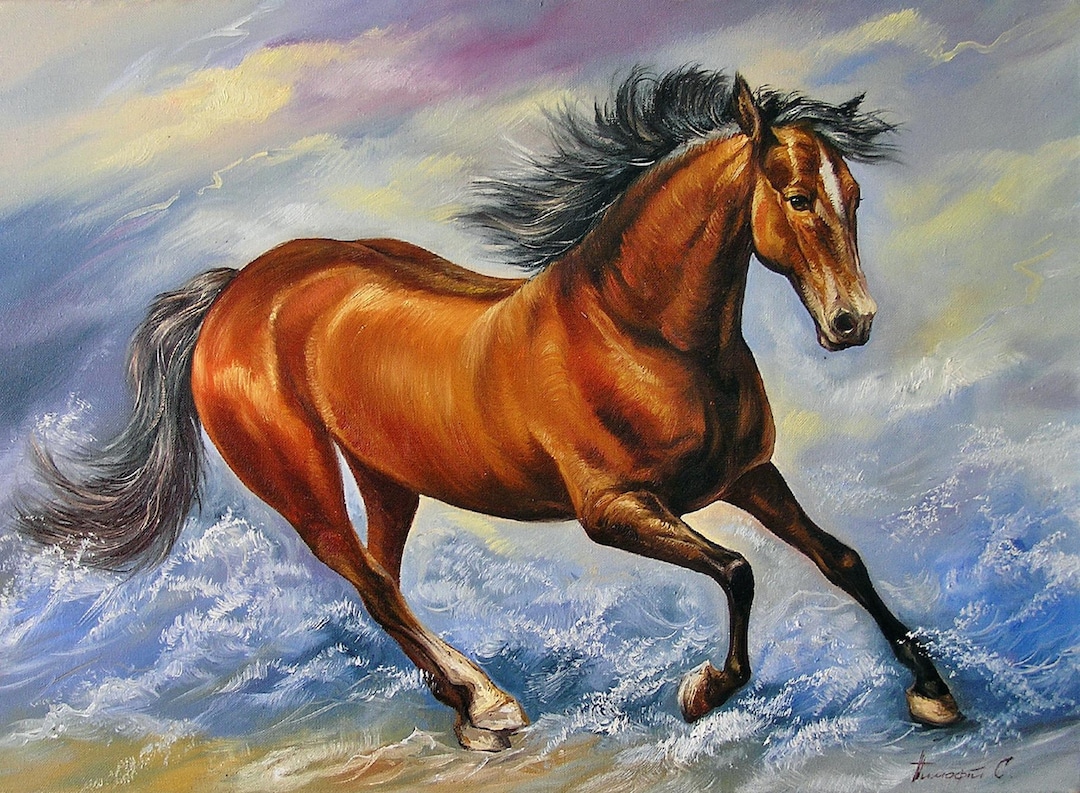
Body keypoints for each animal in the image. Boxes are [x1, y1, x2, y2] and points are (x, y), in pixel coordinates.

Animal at [16, 67, 962, 751]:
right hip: (299, 479)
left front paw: (933, 692)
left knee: (383, 578)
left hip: (387, 475)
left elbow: (841, 560)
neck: (638, 332)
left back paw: (468, 704)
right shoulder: (616, 510)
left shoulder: (749, 474)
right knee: (366, 580)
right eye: (798, 198)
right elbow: (738, 569)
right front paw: (706, 689)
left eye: (855, 197)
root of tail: (238, 290)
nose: (852, 322)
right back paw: (488, 704)